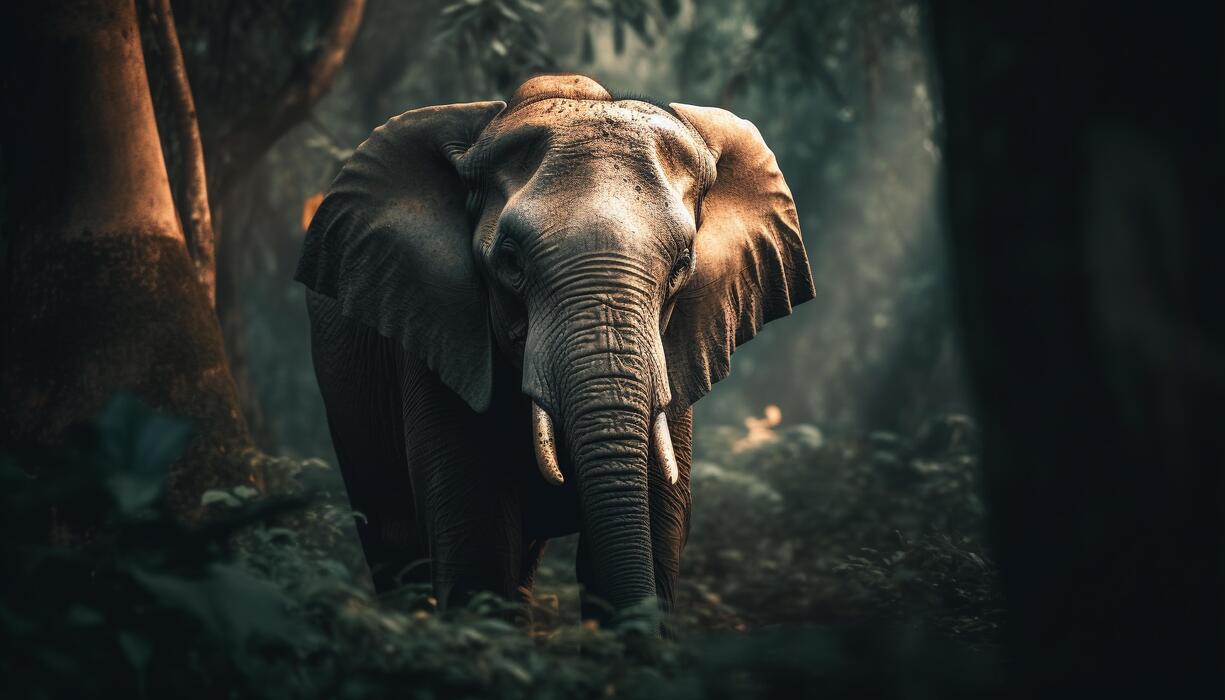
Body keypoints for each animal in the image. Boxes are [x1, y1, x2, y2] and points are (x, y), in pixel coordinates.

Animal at [296, 74, 813, 628]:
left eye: (681, 266)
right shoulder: (438, 333)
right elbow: (475, 540)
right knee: (395, 547)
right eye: (510, 262)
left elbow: (656, 534)